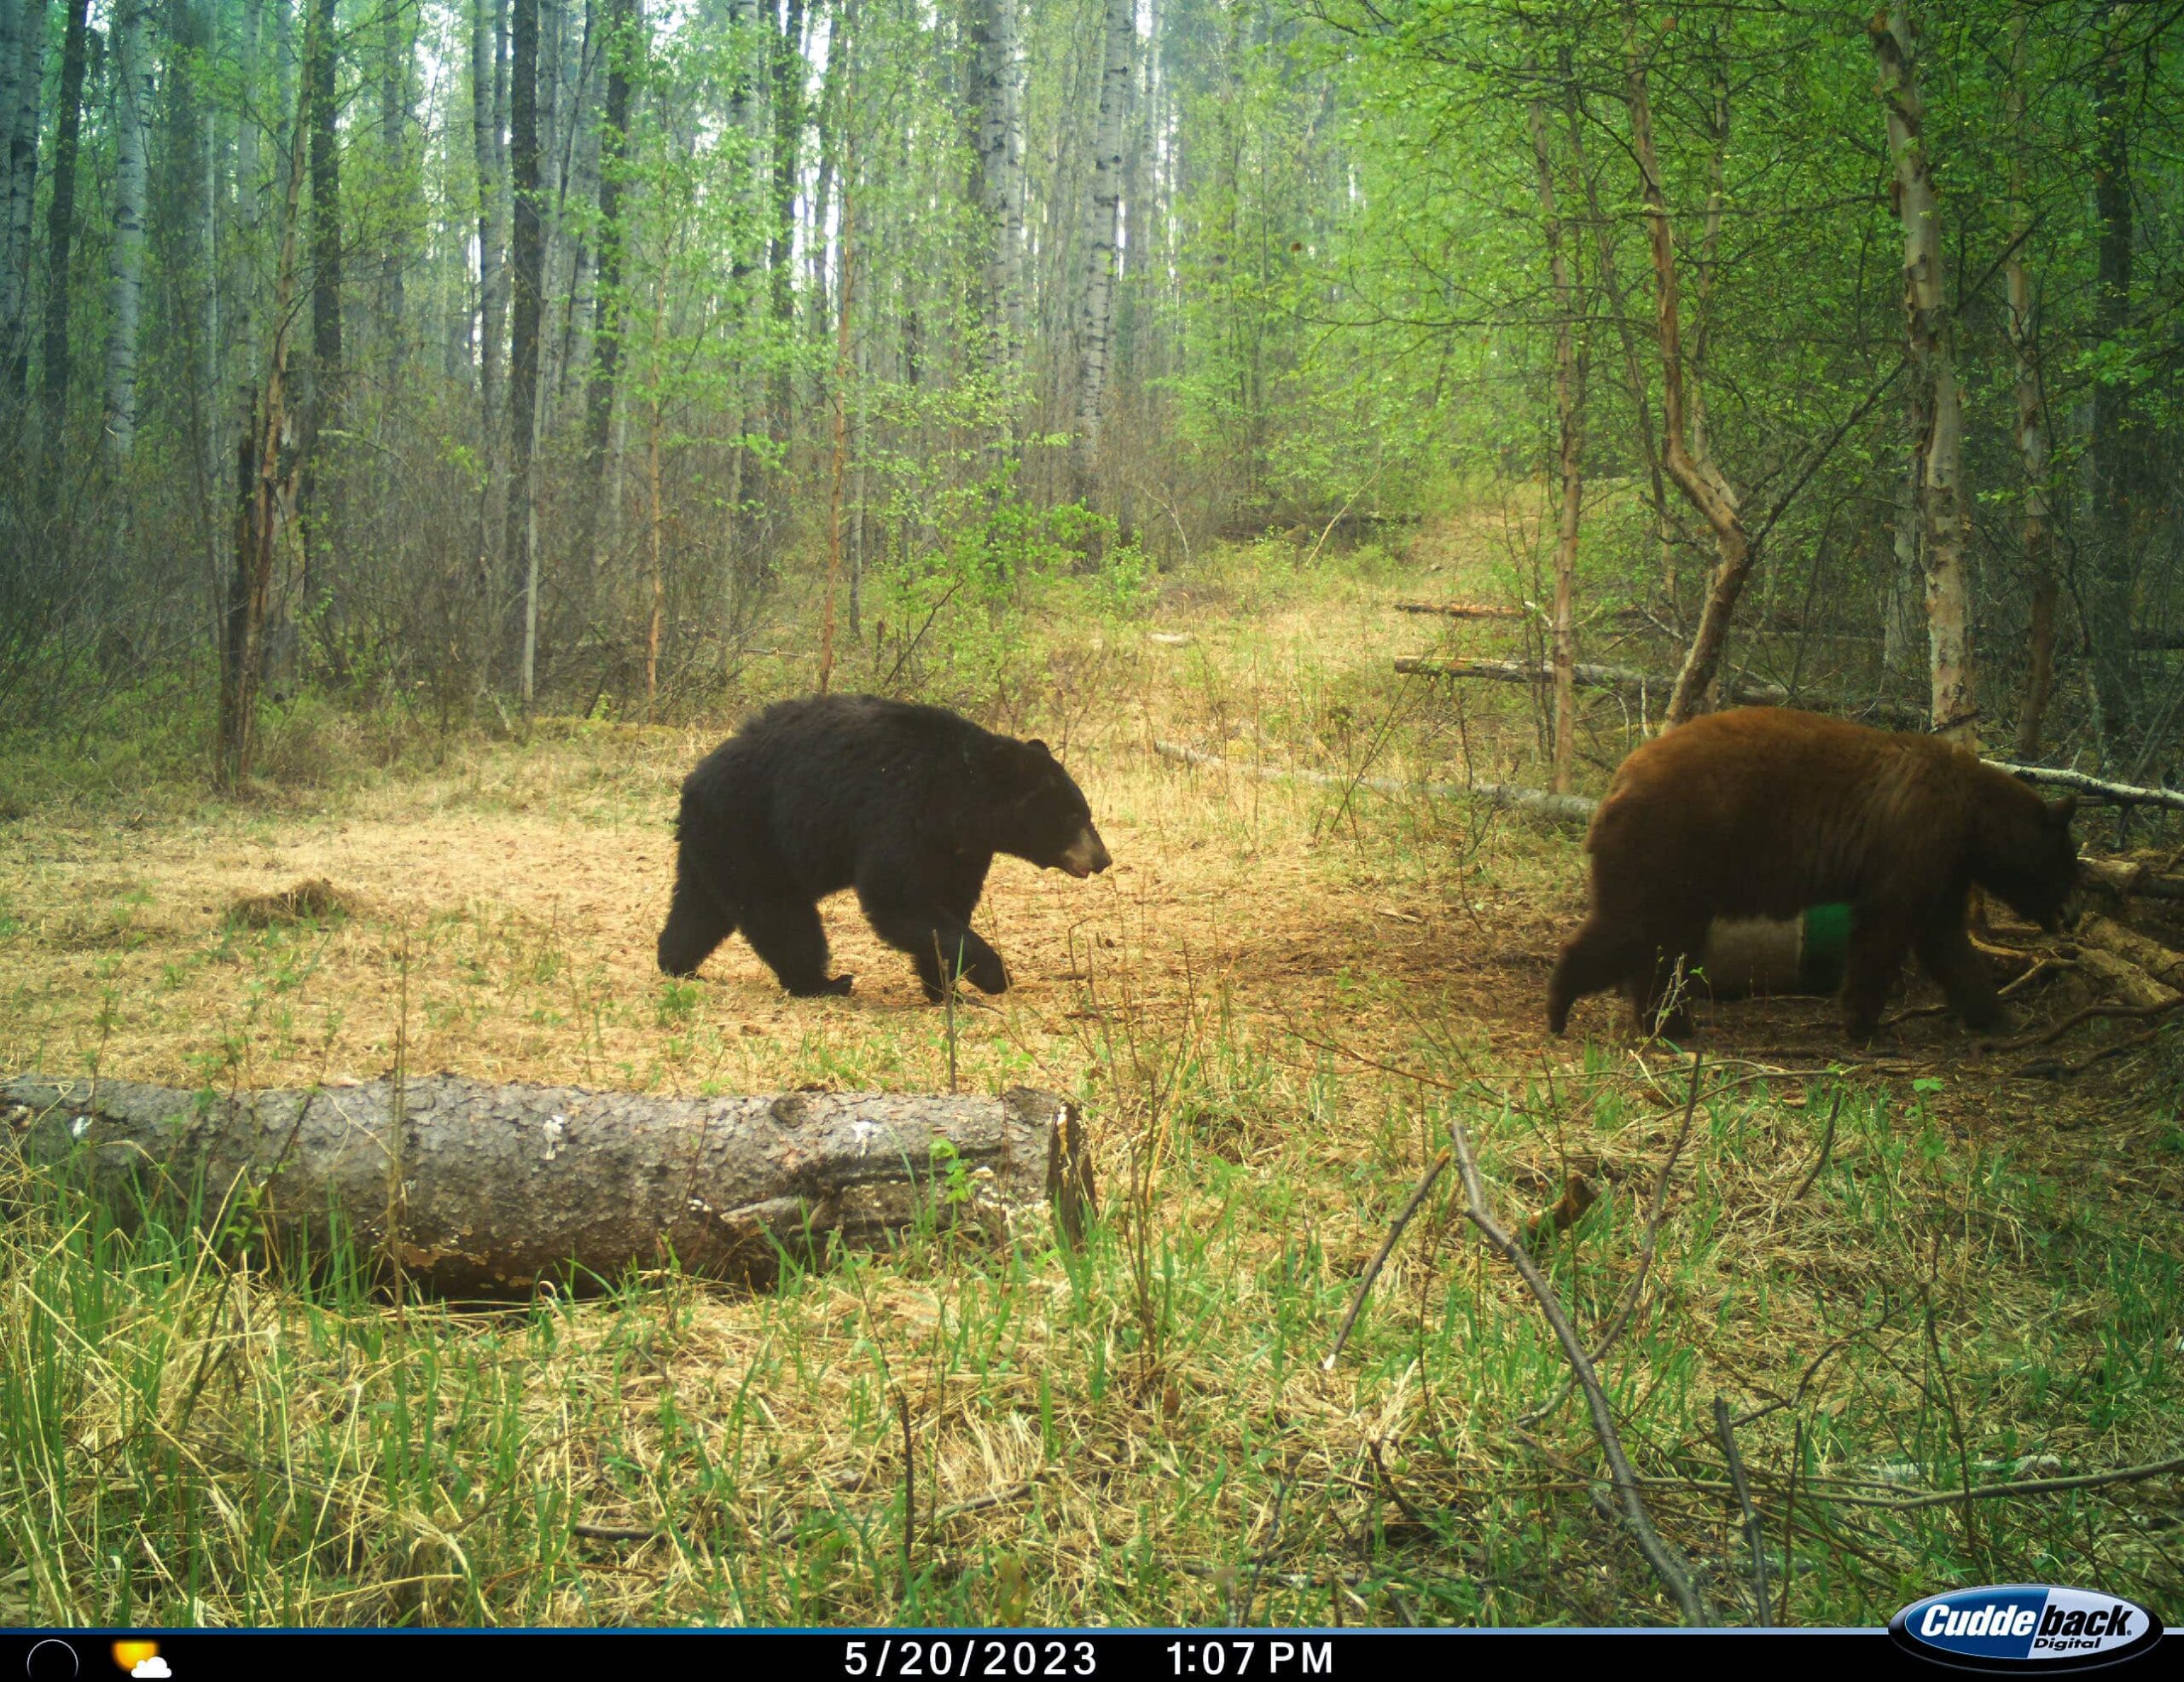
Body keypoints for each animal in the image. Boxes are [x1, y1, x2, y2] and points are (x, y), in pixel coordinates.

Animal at [657, 694, 1112, 1003]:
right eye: (1074, 815)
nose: (1103, 859)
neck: (958, 798)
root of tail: (694, 781)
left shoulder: (960, 849)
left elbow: (948, 905)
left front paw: (946, 988)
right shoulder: (897, 812)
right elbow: (899, 900)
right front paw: (994, 975)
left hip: (717, 845)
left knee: (699, 909)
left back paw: (677, 964)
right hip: (752, 833)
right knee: (782, 915)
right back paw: (823, 982)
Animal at [1545, 708, 2080, 1043]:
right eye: (2070, 866)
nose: (2073, 916)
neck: (1972, 815)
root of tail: (1617, 783)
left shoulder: (1942, 866)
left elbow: (1944, 940)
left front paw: (1995, 1016)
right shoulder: (1914, 841)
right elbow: (1884, 930)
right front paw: (1863, 1025)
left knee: (1663, 946)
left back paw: (1668, 1024)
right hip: (1668, 848)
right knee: (1634, 930)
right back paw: (1565, 1006)